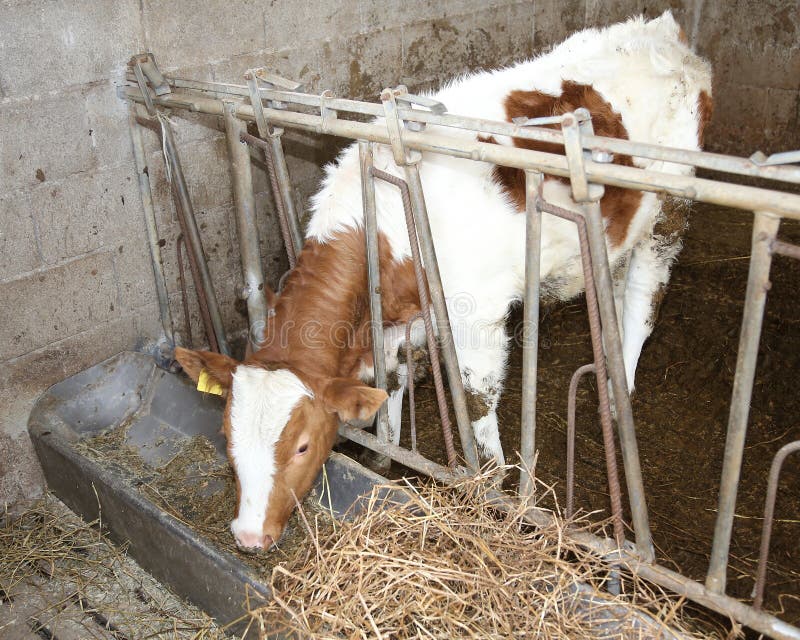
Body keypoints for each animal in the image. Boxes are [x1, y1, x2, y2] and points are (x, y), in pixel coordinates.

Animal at [175, 11, 712, 550]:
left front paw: (494, 485)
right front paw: (384, 455)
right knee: (616, 286)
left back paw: (621, 387)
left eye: (303, 446)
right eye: (227, 436)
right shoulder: (396, 318)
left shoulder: (479, 315)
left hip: (671, 211)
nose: (248, 536)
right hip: (619, 228)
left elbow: (475, 399)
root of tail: (663, 31)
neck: (386, 223)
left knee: (645, 299)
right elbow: (391, 382)